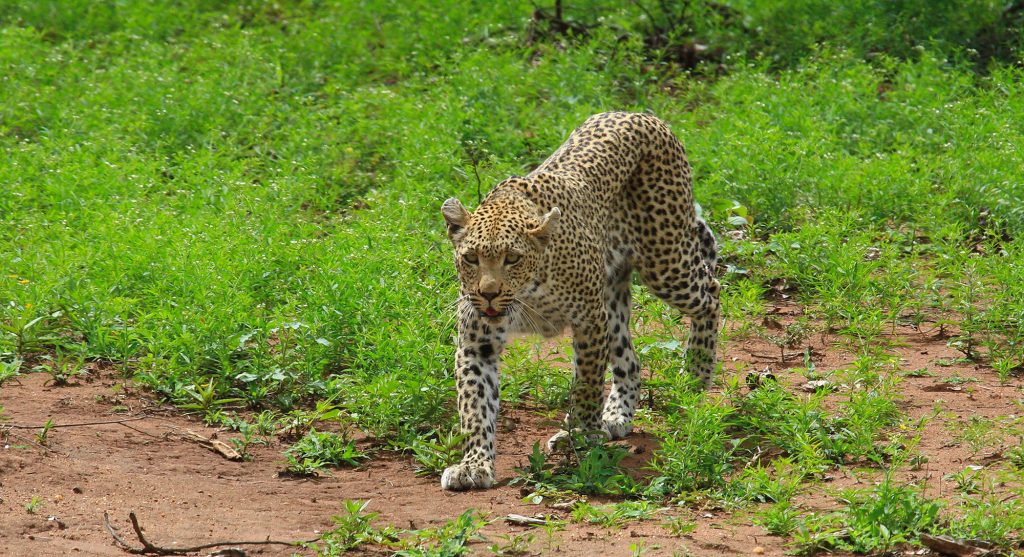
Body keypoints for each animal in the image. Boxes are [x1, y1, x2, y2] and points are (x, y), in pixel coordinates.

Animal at [439, 111, 720, 491]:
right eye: (470, 258)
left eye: (512, 258)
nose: (488, 293)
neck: (528, 292)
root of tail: (642, 114)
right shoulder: (476, 342)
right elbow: (474, 405)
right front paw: (473, 463)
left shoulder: (589, 320)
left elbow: (586, 384)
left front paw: (582, 433)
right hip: (615, 295)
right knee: (630, 360)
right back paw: (616, 415)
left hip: (665, 262)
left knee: (712, 292)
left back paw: (695, 373)